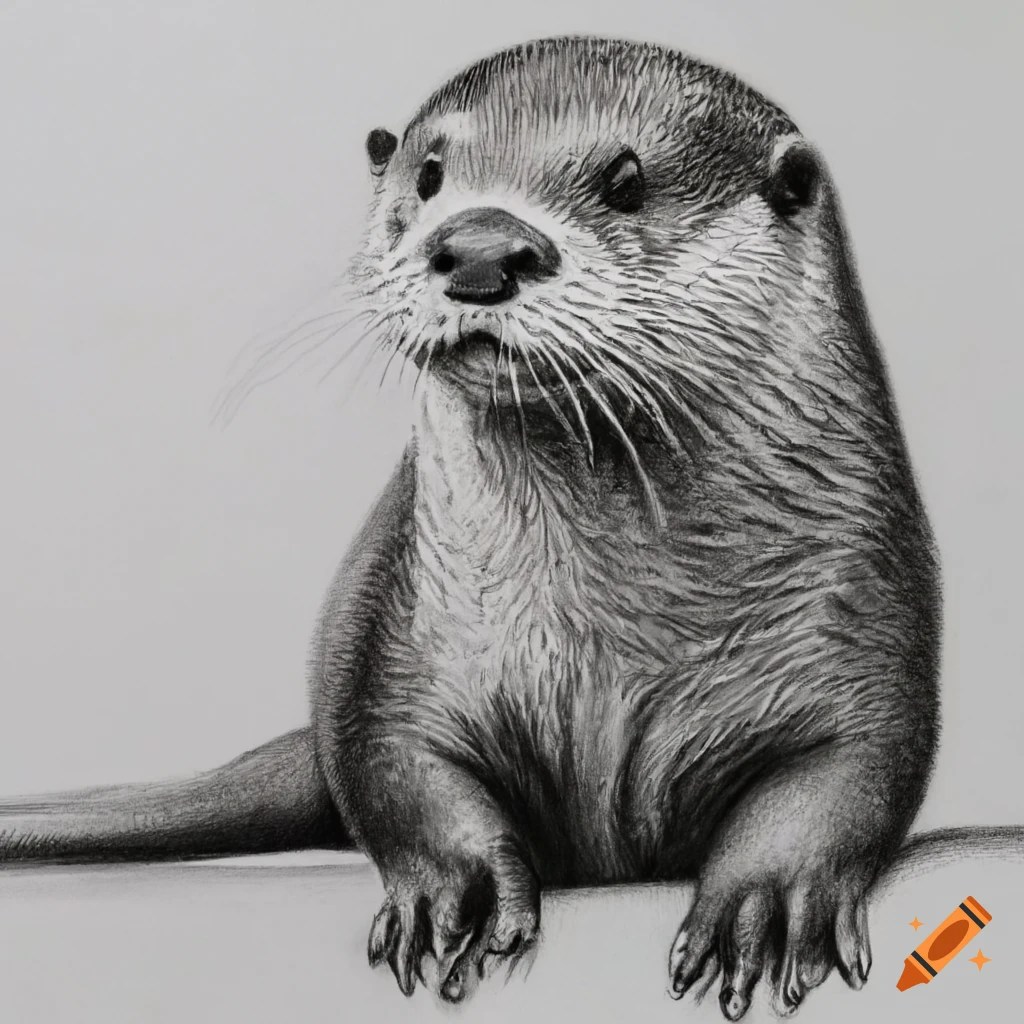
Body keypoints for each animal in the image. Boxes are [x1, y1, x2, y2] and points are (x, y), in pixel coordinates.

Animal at [1, 37, 1021, 1021]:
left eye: (627, 181)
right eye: (428, 174)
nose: (480, 246)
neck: (614, 635)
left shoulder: (865, 613)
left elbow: (850, 772)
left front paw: (764, 903)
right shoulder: (390, 631)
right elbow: (393, 763)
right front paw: (457, 889)